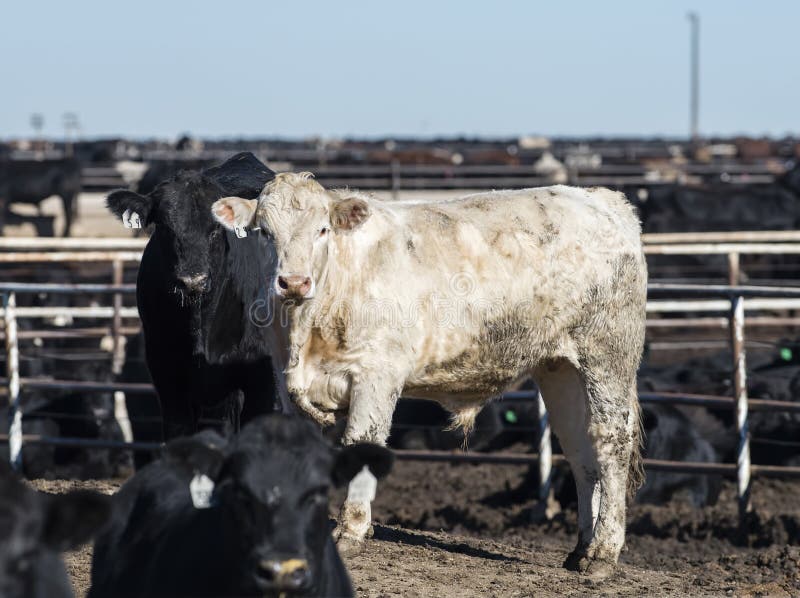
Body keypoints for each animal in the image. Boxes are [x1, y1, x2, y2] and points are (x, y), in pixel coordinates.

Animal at [212, 174, 648, 578]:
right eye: (264, 232)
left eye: (322, 229)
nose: (294, 282)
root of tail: (601, 198)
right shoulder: (286, 383)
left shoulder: (377, 373)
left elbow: (363, 442)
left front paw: (352, 530)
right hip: (561, 369)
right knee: (579, 447)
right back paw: (581, 548)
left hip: (607, 354)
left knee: (610, 441)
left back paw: (603, 553)